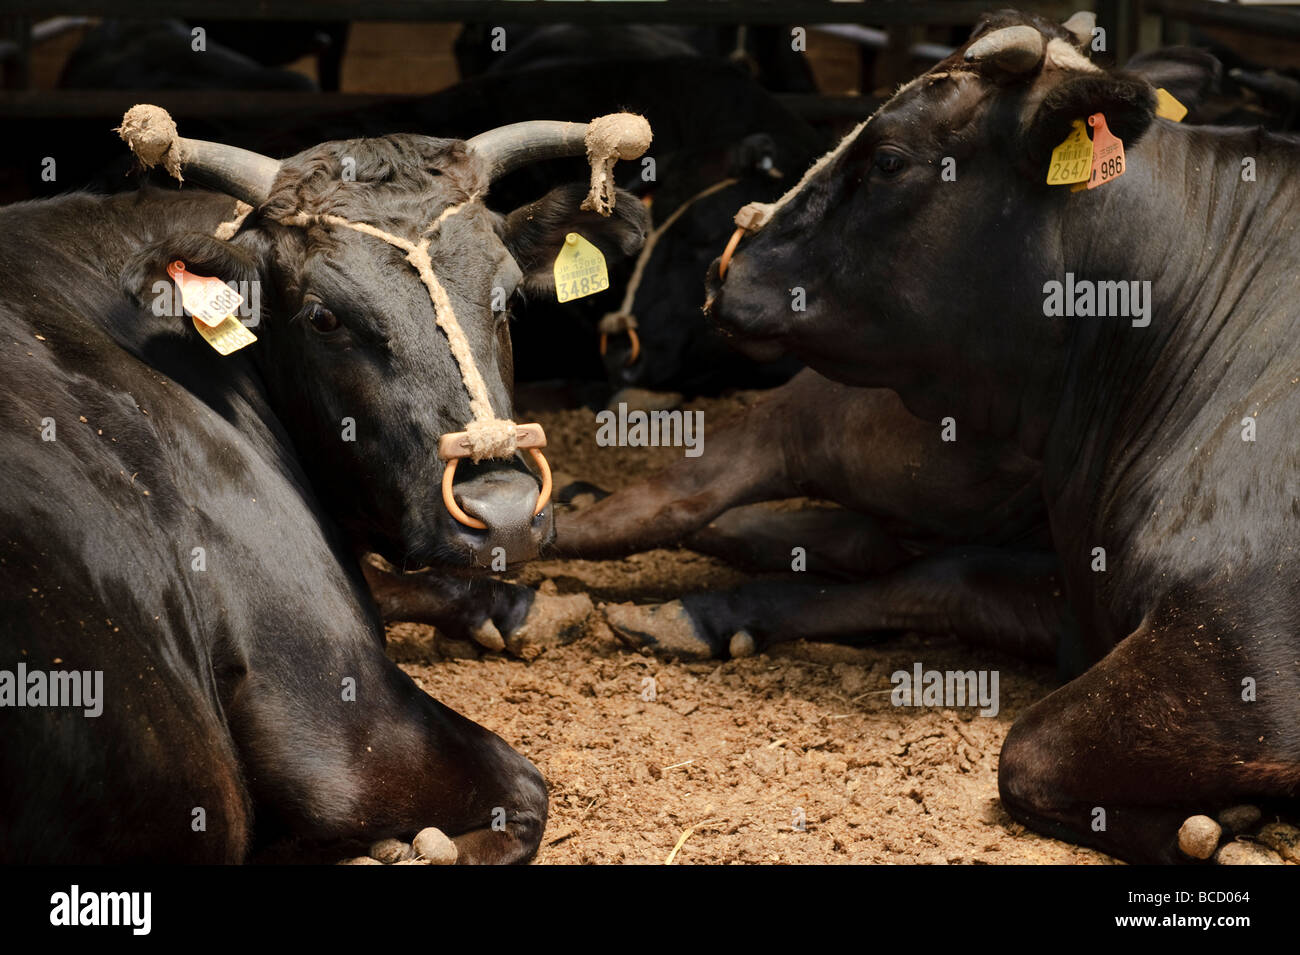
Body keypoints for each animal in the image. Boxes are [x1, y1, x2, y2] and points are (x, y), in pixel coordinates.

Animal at [699, 8, 1300, 863]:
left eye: (888, 160)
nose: (727, 266)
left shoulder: (1240, 653)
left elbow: (1027, 752)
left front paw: (1211, 827)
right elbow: (938, 580)